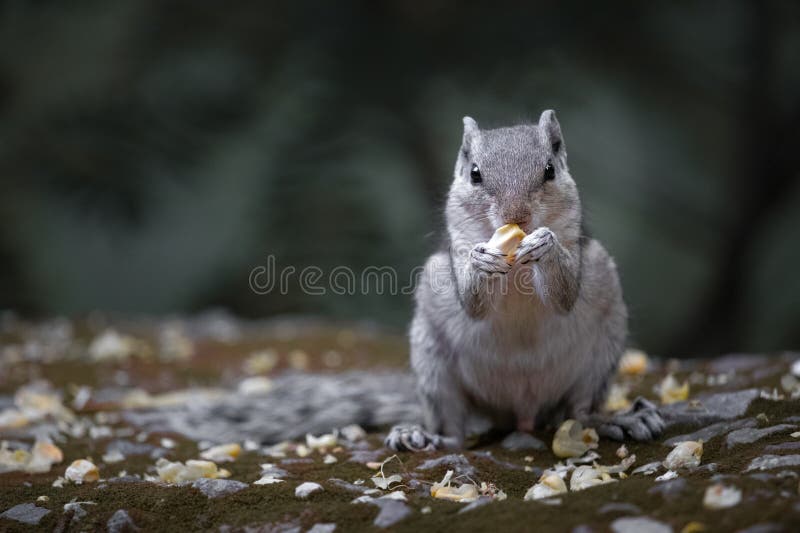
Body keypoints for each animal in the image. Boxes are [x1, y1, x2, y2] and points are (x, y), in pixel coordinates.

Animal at [385, 110, 664, 451]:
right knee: (454, 430)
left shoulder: (574, 244)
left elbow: (564, 295)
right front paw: (481, 261)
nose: (516, 216)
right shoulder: (457, 248)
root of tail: (523, 414)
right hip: (433, 364)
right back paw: (423, 435)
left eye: (549, 170)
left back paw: (619, 420)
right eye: (474, 174)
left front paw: (546, 245)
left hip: (601, 354)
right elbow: (472, 304)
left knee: (580, 413)